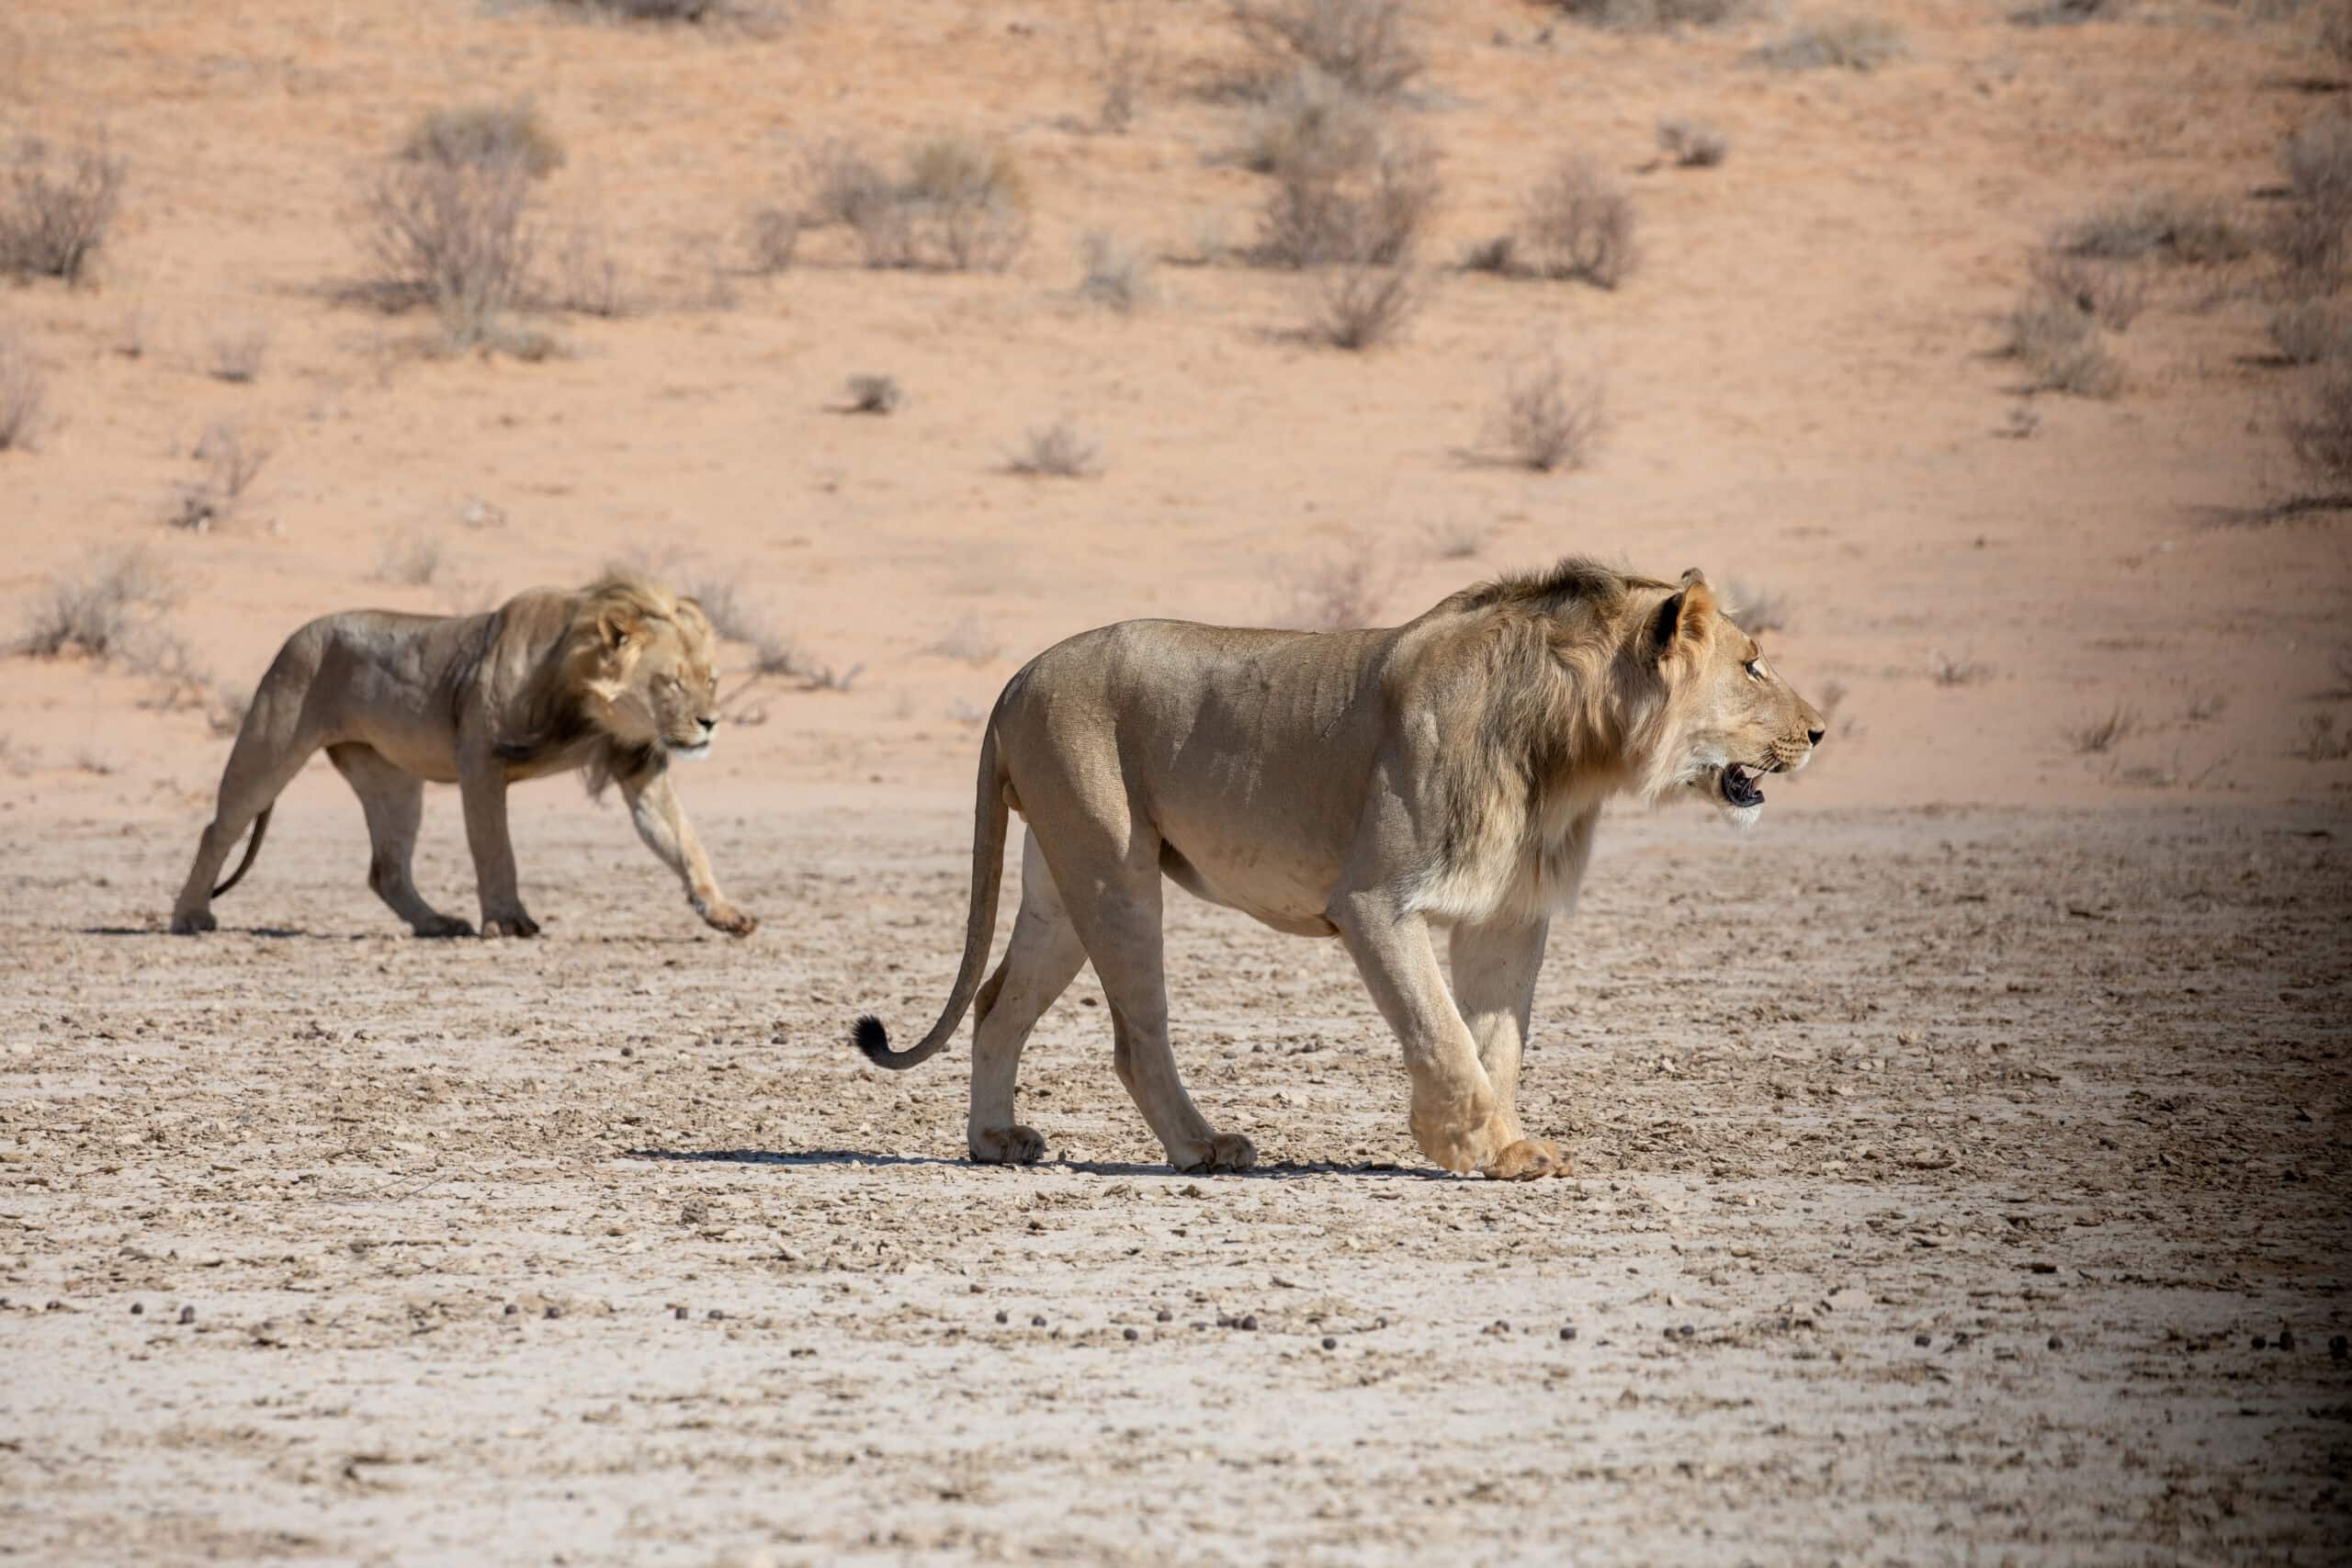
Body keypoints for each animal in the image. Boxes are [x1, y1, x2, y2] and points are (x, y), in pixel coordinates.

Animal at [170, 574, 757, 940]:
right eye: (671, 682)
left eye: (711, 680)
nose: (710, 722)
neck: (586, 706)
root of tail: (294, 635)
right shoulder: (481, 761)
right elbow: (495, 849)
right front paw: (508, 921)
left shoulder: (637, 765)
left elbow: (684, 842)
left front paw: (724, 912)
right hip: (270, 744)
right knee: (218, 830)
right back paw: (190, 915)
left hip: (393, 782)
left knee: (387, 869)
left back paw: (434, 924)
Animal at [850, 560, 1823, 1179]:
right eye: (1752, 665)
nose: (1818, 730)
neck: (1569, 754)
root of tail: (1016, 677)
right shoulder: (1373, 901)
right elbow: (1443, 1031)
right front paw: (1467, 1144)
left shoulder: (1509, 913)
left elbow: (1497, 1040)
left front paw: (1509, 1146)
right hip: (1111, 865)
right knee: (1135, 1034)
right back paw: (1203, 1148)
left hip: (1059, 882)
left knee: (995, 1002)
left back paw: (994, 1137)